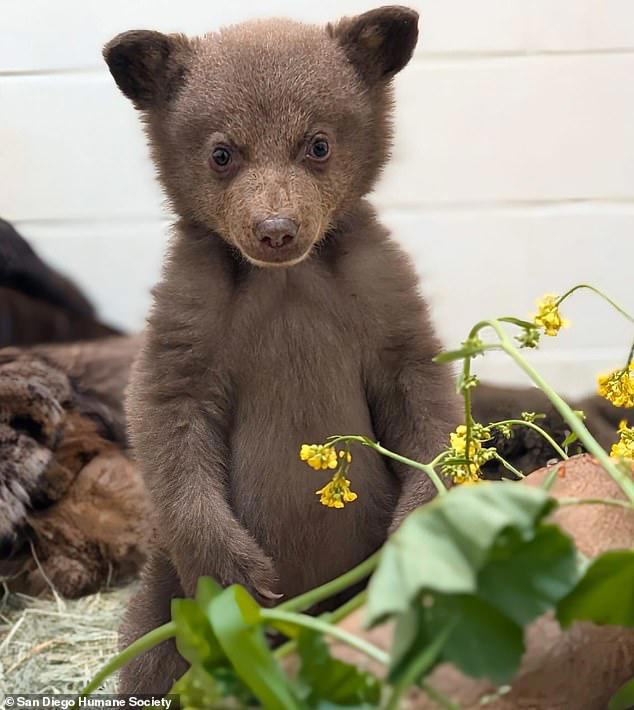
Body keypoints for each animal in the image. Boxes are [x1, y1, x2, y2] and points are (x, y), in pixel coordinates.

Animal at [104, 6, 460, 693]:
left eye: (317, 145)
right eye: (221, 153)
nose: (275, 230)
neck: (287, 279)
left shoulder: (384, 295)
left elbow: (425, 398)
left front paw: (412, 537)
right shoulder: (189, 315)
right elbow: (164, 417)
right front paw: (237, 569)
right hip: (166, 592)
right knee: (149, 648)